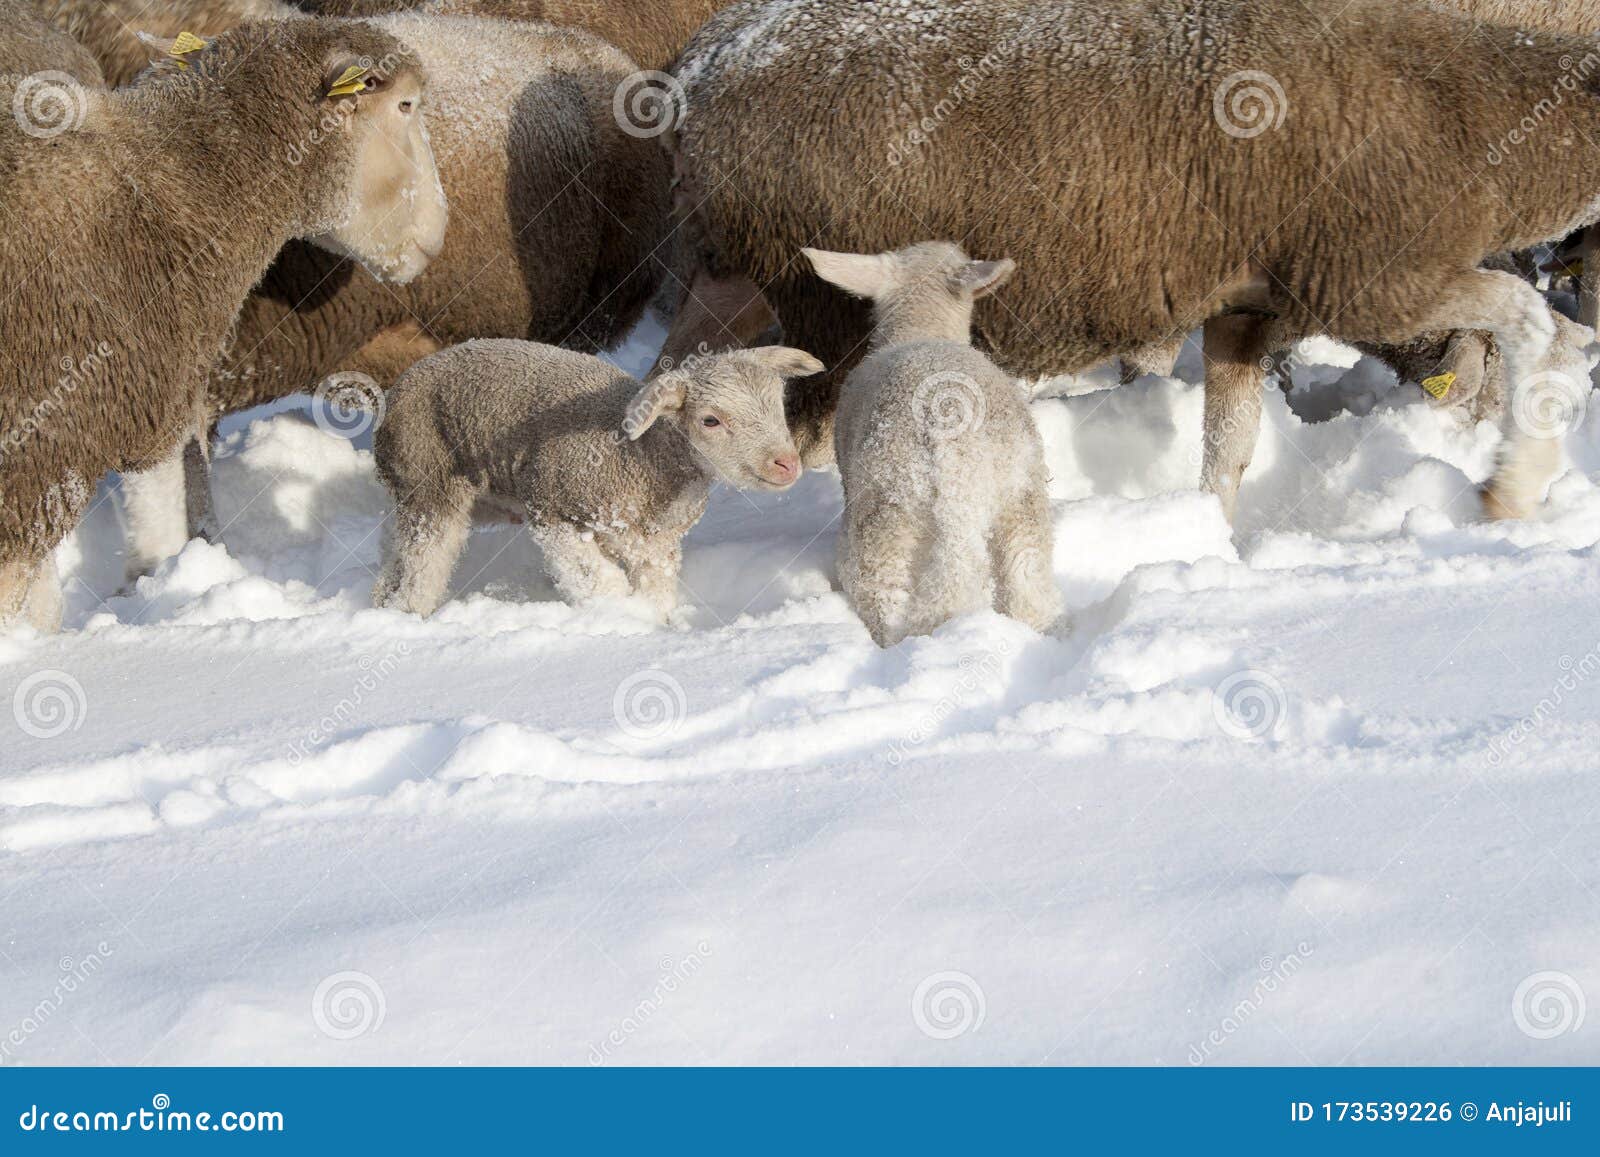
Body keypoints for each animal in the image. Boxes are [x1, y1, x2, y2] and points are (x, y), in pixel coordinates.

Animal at [371, 340, 822, 618]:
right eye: (711, 420)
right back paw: (409, 614)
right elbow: (601, 581)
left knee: (394, 550)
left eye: (778, 404)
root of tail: (396, 391)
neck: (641, 459)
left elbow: (656, 591)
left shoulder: (654, 545)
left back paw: (382, 598)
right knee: (424, 566)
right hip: (428, 477)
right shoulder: (552, 513)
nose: (786, 463)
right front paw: (621, 617)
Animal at [667, 0, 1600, 525]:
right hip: (817, 304)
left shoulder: (1245, 307)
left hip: (730, 281)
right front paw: (1514, 486)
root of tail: (707, 62)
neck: (1472, 110)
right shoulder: (1377, 277)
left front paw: (1216, 544)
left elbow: (1228, 449)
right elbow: (1538, 324)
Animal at [804, 243, 1061, 647]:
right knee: (1028, 576)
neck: (920, 327)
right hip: (1021, 493)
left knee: (881, 586)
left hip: (888, 504)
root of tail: (950, 434)